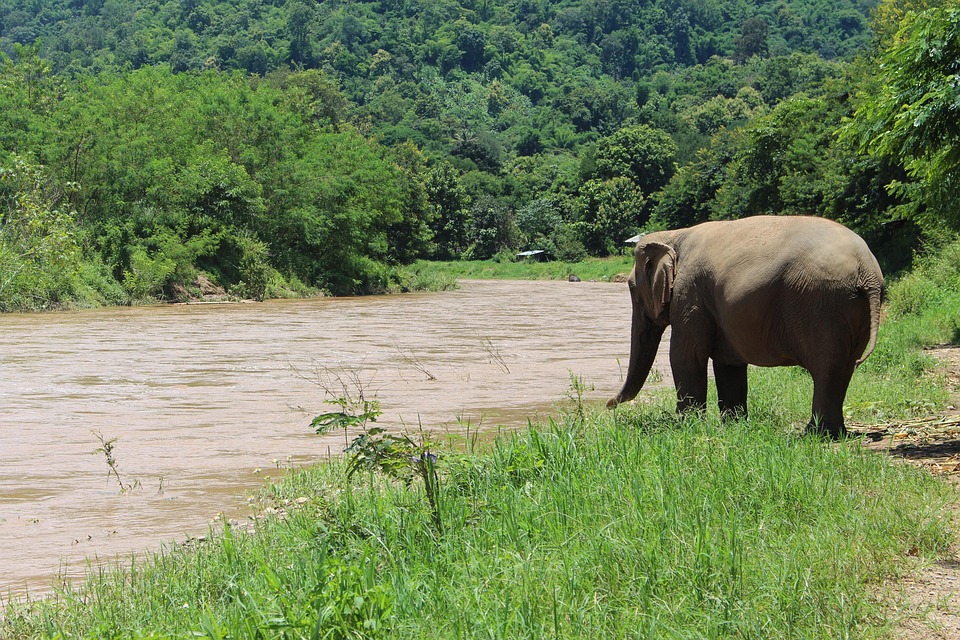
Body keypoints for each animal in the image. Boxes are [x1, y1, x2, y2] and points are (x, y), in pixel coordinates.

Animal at [607, 215, 883, 438]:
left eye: (632, 288)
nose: (608, 404)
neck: (674, 234)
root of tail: (867, 269)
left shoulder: (690, 293)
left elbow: (685, 356)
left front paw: (686, 425)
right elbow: (728, 364)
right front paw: (734, 425)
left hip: (821, 305)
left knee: (827, 368)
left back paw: (815, 434)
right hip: (850, 308)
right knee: (844, 369)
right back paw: (834, 433)